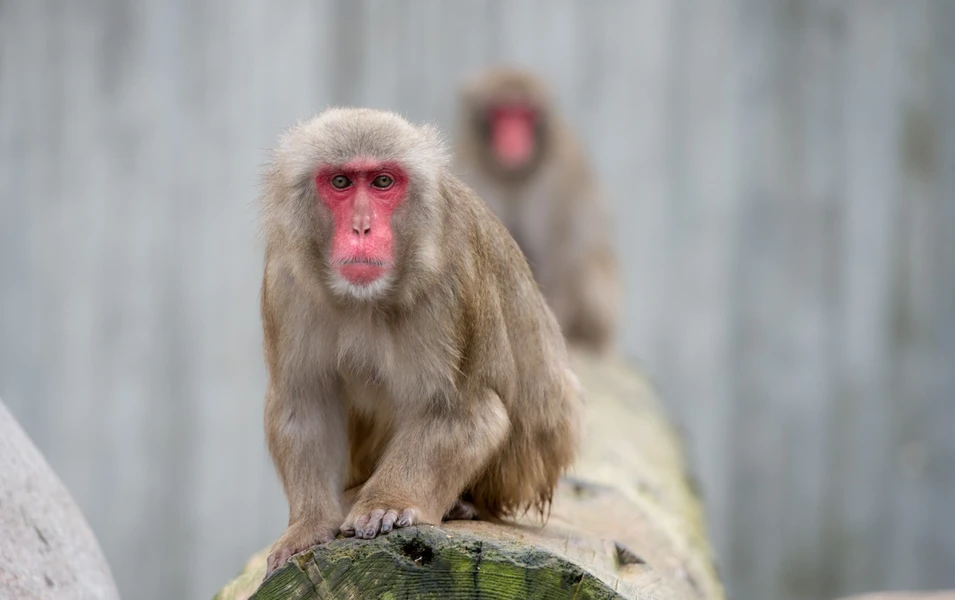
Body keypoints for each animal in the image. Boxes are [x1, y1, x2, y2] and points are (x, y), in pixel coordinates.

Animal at [259, 107, 582, 577]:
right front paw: (309, 525)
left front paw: (387, 505)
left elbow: (461, 413)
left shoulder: (452, 277)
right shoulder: (284, 279)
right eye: (340, 182)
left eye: (382, 182)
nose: (361, 227)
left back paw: (464, 504)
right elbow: (305, 405)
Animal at [455, 67, 621, 354]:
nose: (513, 139)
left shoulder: (563, 171)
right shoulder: (468, 163)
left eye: (525, 114)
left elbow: (559, 257)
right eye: (501, 112)